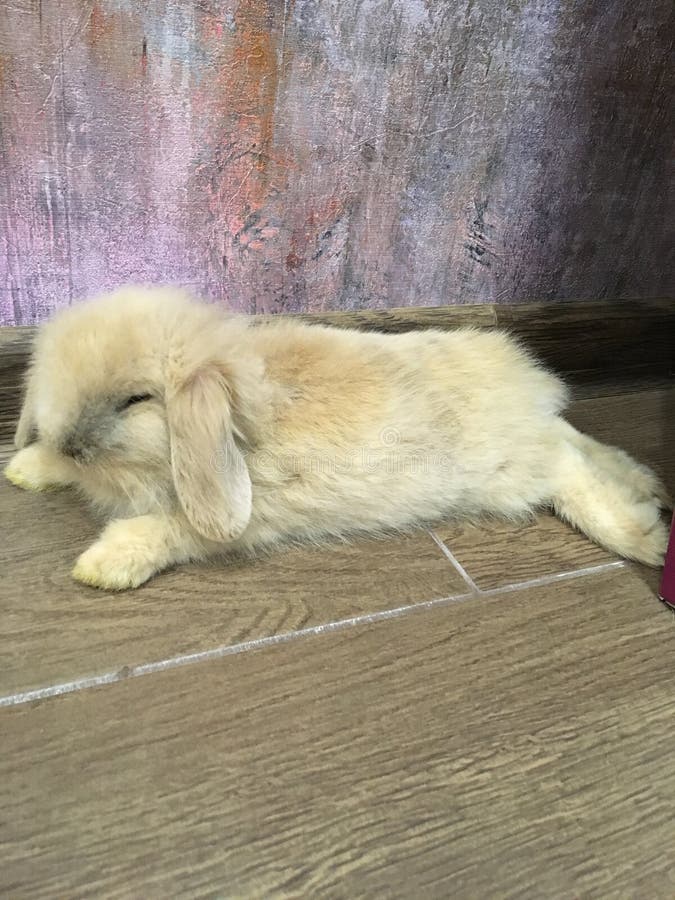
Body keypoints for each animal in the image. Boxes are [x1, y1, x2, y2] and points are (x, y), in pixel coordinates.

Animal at [4, 285, 670, 591]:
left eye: (136, 399)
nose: (74, 443)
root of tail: (529, 384)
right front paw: (26, 467)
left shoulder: (247, 514)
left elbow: (172, 529)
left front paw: (102, 565)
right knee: (576, 441)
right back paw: (647, 483)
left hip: (508, 470)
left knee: (569, 467)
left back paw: (647, 537)